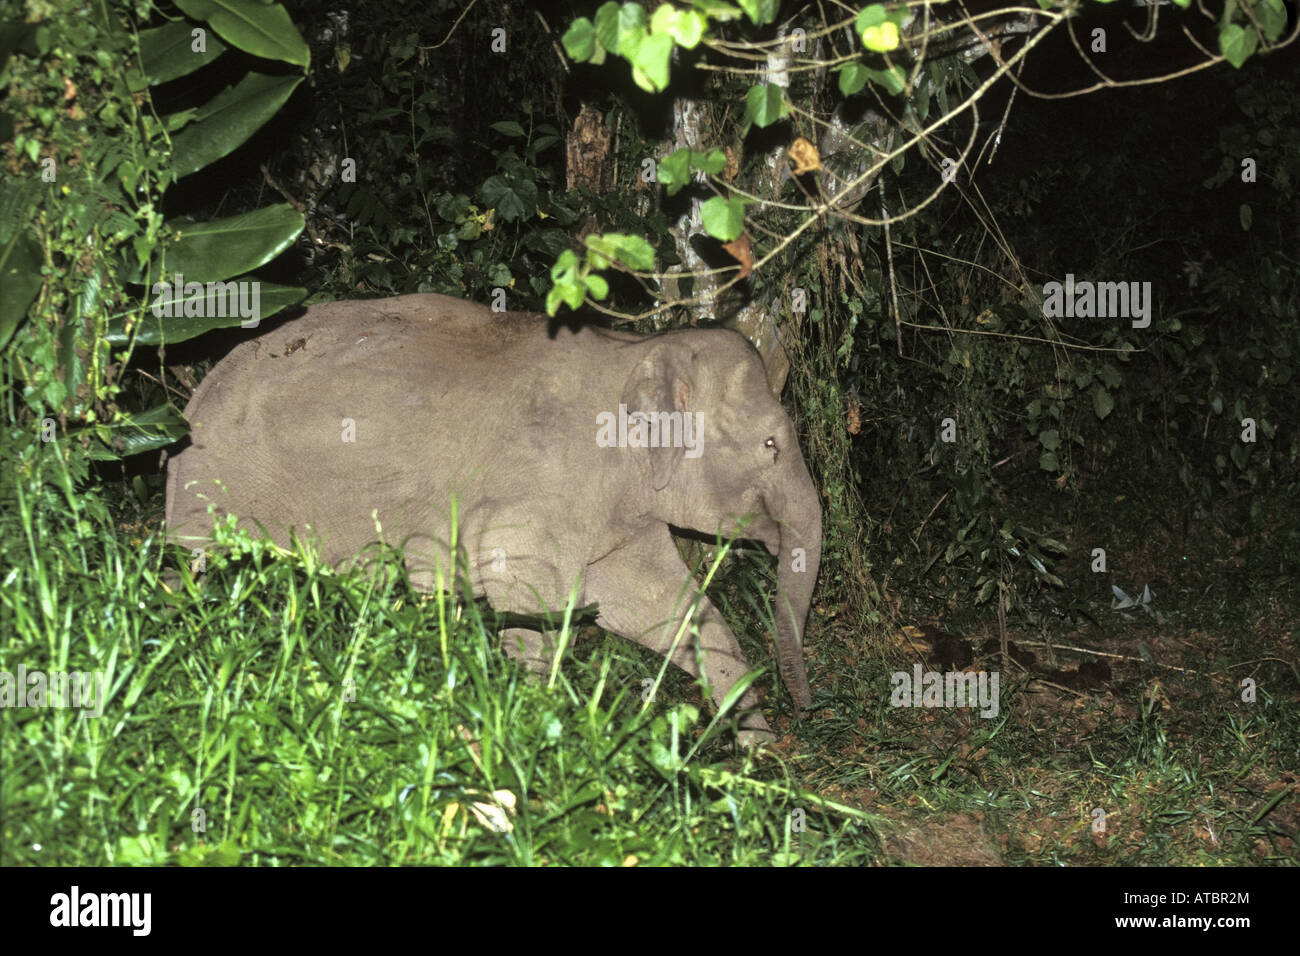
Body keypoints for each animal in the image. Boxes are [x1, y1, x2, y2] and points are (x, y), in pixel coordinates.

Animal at [165, 294, 822, 743]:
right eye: (770, 446)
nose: (806, 708)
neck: (633, 350)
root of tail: (194, 398)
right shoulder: (539, 487)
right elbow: (529, 599)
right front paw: (539, 726)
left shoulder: (618, 512)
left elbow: (663, 608)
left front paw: (757, 756)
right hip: (217, 486)